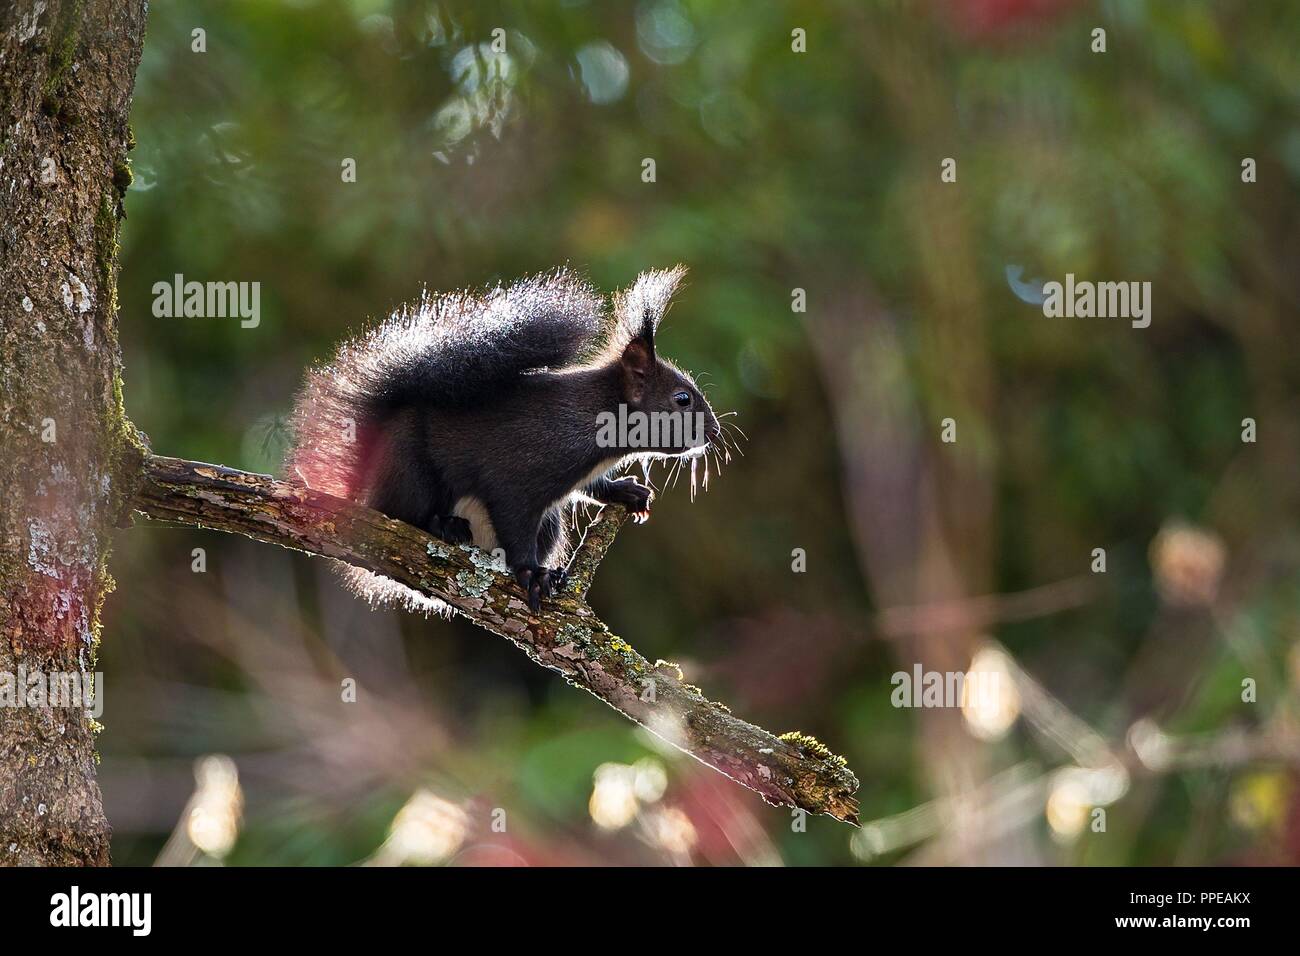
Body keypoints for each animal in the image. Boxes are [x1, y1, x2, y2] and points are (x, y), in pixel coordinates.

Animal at [286, 266, 724, 613]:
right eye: (682, 399)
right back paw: (442, 526)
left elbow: (592, 486)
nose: (714, 432)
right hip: (410, 471)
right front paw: (532, 573)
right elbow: (514, 517)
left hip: (550, 524)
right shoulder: (521, 472)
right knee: (401, 512)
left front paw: (626, 491)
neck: (597, 419)